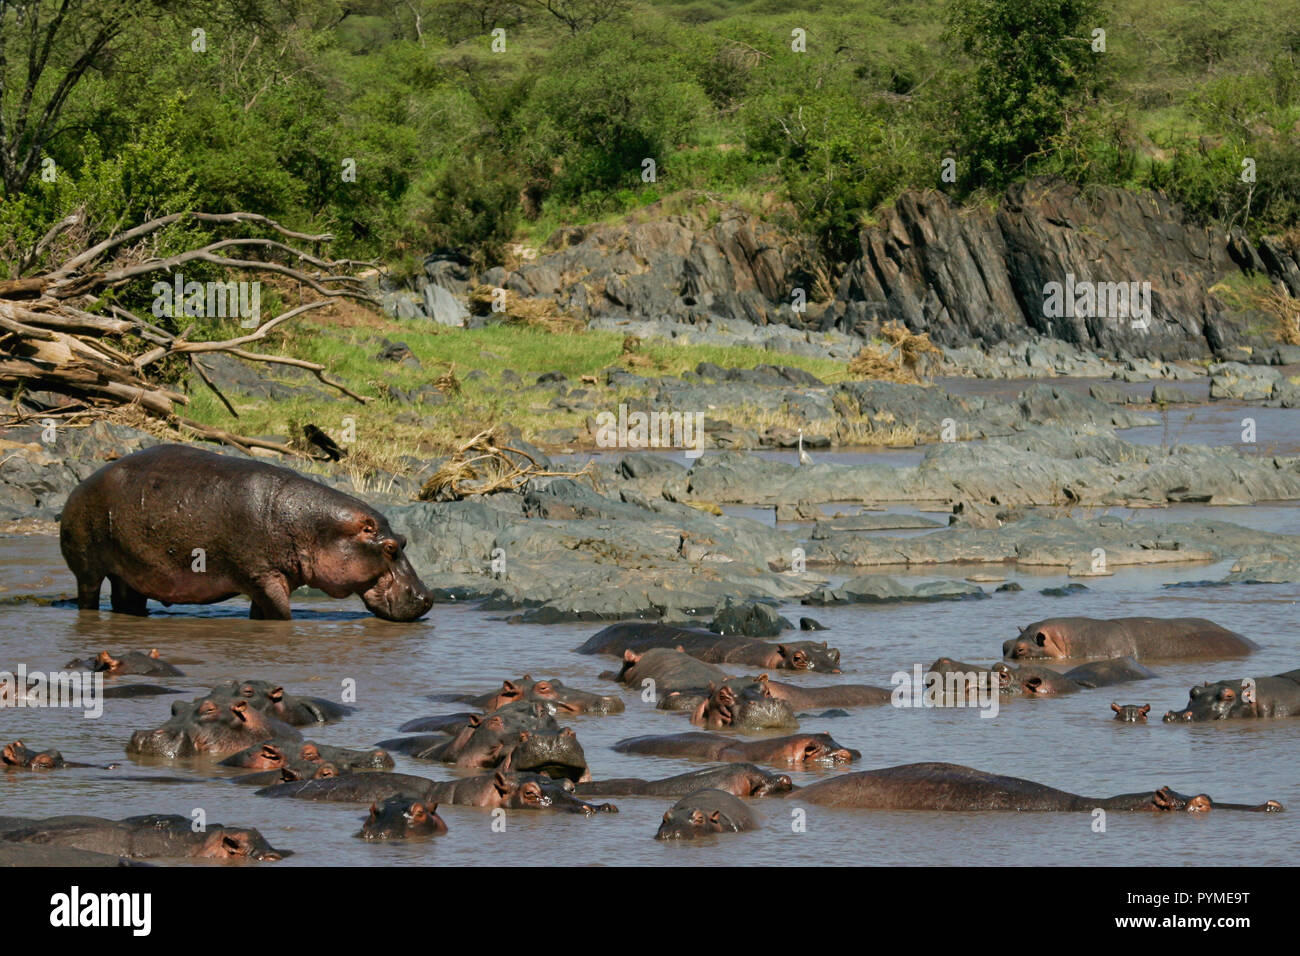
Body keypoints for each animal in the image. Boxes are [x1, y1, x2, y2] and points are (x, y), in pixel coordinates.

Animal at [59, 444, 434, 621]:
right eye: (390, 547)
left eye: (404, 540)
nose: (427, 597)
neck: (315, 527)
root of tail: (80, 485)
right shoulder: (262, 576)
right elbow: (283, 617)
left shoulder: (266, 582)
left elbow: (262, 613)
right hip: (88, 568)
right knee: (88, 597)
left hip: (131, 573)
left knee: (126, 599)